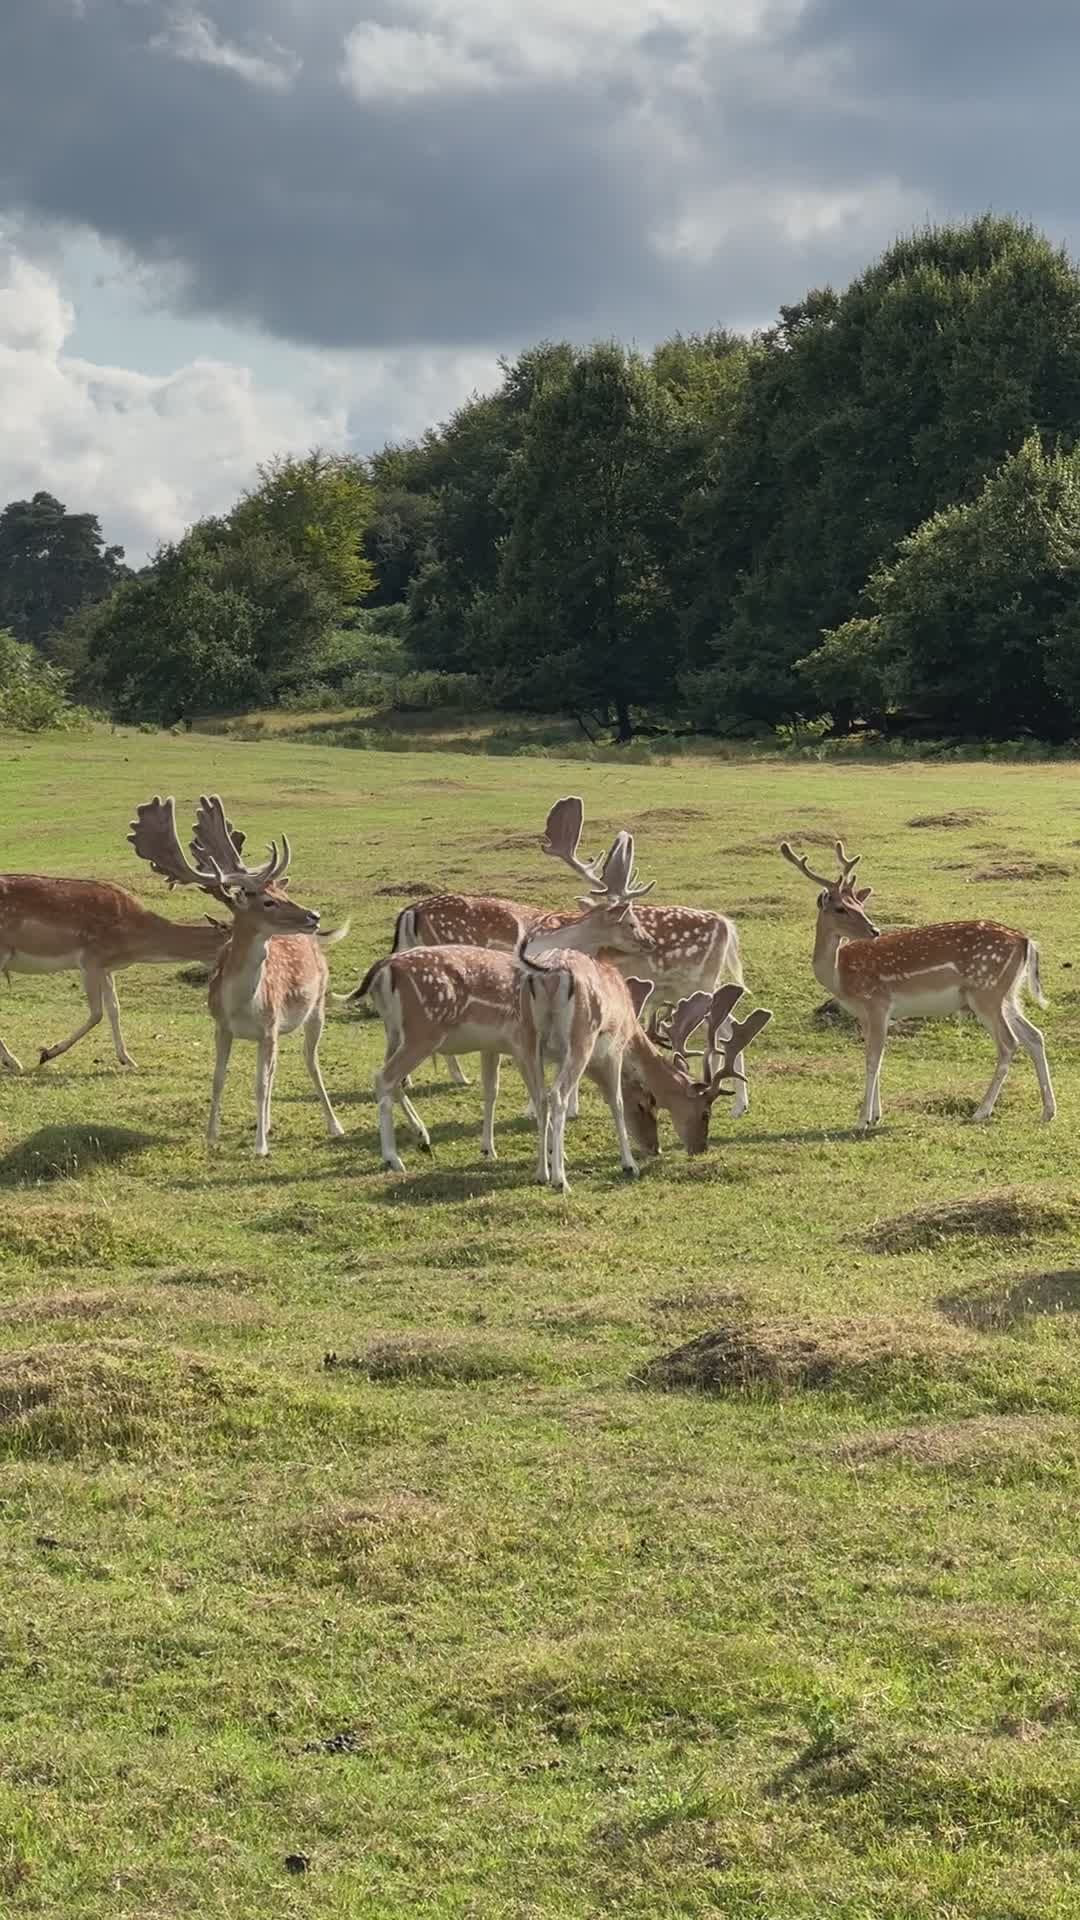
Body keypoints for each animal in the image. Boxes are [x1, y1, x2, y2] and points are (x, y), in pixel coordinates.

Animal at [0, 870, 230, 1075]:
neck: (134, 939)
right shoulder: (90, 959)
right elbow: (96, 1013)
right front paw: (47, 1053)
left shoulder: (106, 967)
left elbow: (114, 1009)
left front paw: (128, 1059)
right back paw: (13, 1062)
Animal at [128, 795, 348, 1155]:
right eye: (269, 901)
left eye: (284, 895)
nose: (314, 916)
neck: (243, 1006)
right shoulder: (222, 1027)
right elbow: (219, 1079)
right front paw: (210, 1135)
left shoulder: (269, 1027)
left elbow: (259, 1084)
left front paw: (260, 1148)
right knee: (279, 1069)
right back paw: (269, 1123)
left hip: (316, 1008)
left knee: (311, 1063)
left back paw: (334, 1126)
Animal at [391, 796, 751, 1116]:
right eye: (628, 919)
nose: (648, 942)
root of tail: (725, 924)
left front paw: (546, 1108)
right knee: (728, 1026)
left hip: (698, 982)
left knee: (727, 1027)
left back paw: (738, 1104)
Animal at [780, 839, 1056, 1131]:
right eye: (841, 908)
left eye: (859, 905)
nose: (874, 931)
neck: (840, 976)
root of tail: (1025, 941)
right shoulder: (865, 1013)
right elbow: (875, 1057)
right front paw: (876, 1115)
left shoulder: (878, 1003)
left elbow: (873, 1059)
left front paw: (863, 1119)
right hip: (1007, 994)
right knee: (1034, 1036)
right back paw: (1048, 1111)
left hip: (986, 993)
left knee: (1009, 1043)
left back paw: (981, 1111)